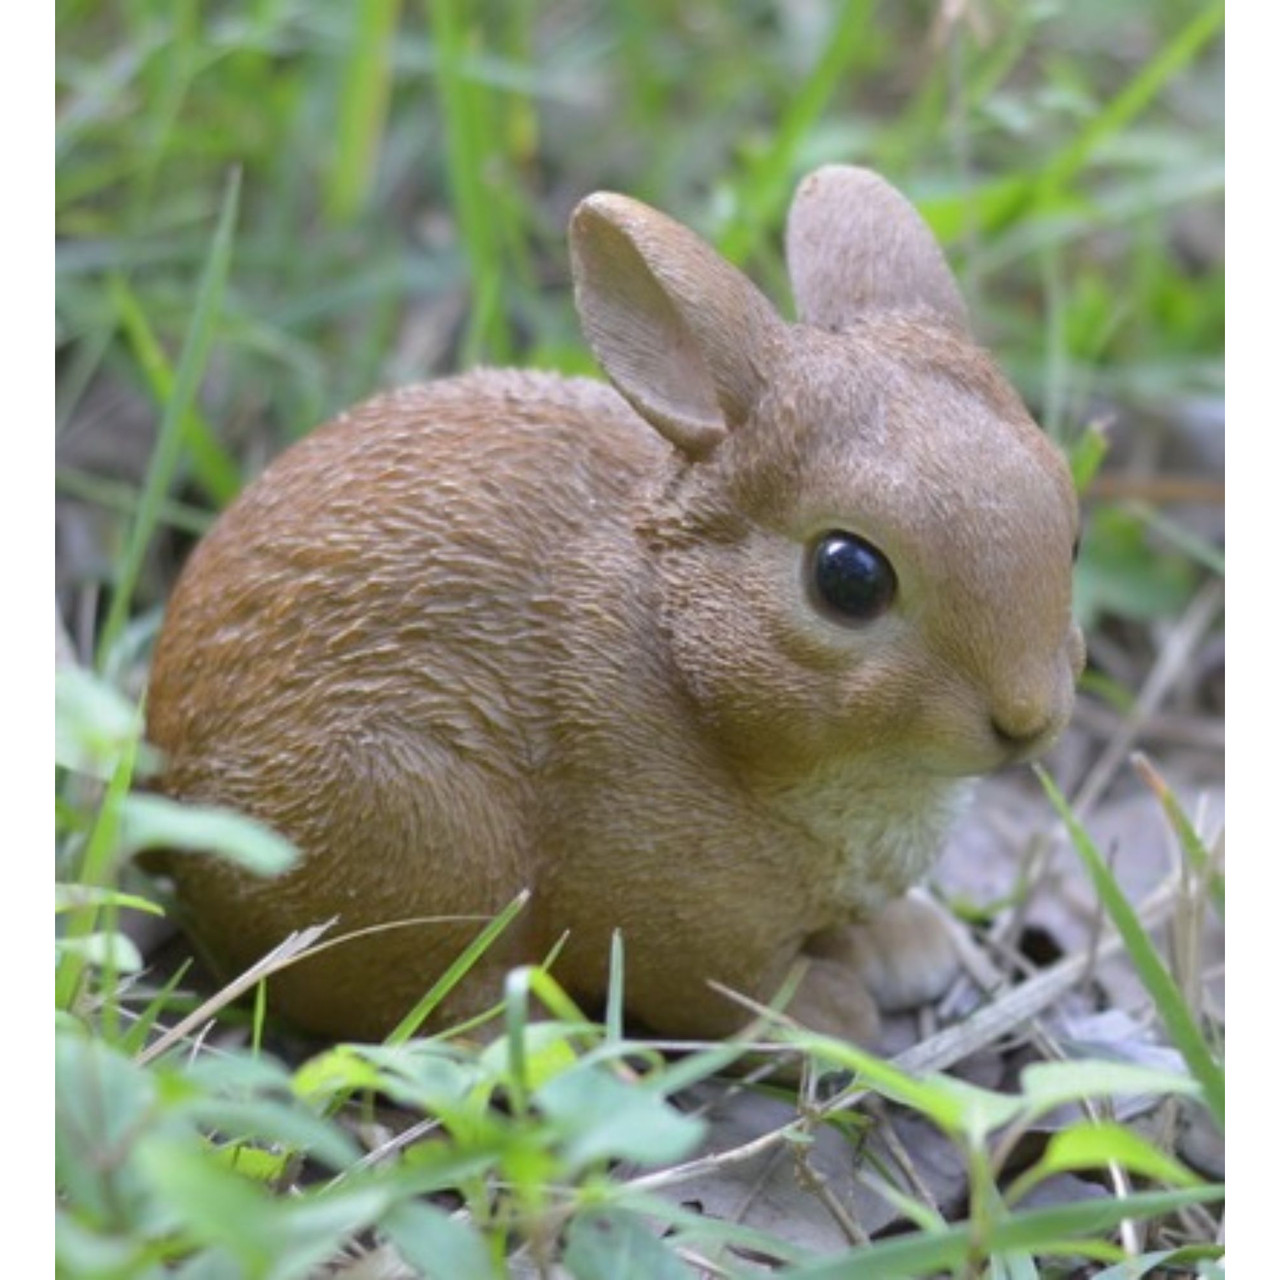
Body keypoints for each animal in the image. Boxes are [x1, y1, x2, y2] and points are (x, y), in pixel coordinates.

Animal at [145, 165, 1084, 1046]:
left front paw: (906, 945)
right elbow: (719, 987)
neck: (685, 649)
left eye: (1071, 532)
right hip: (415, 830)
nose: (1027, 720)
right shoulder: (675, 916)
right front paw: (829, 1011)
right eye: (849, 578)